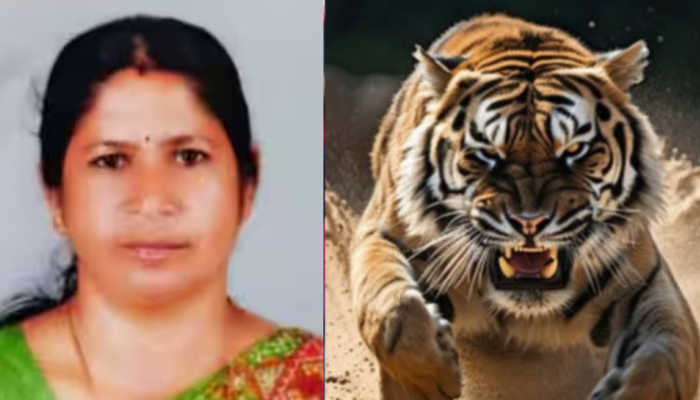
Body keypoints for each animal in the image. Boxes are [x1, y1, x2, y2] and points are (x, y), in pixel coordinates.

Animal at [349, 13, 700, 400]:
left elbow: (669, 349)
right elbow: (392, 303)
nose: (529, 222)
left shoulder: (642, 279)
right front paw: (435, 372)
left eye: (574, 150)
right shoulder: (384, 236)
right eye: (487, 152)